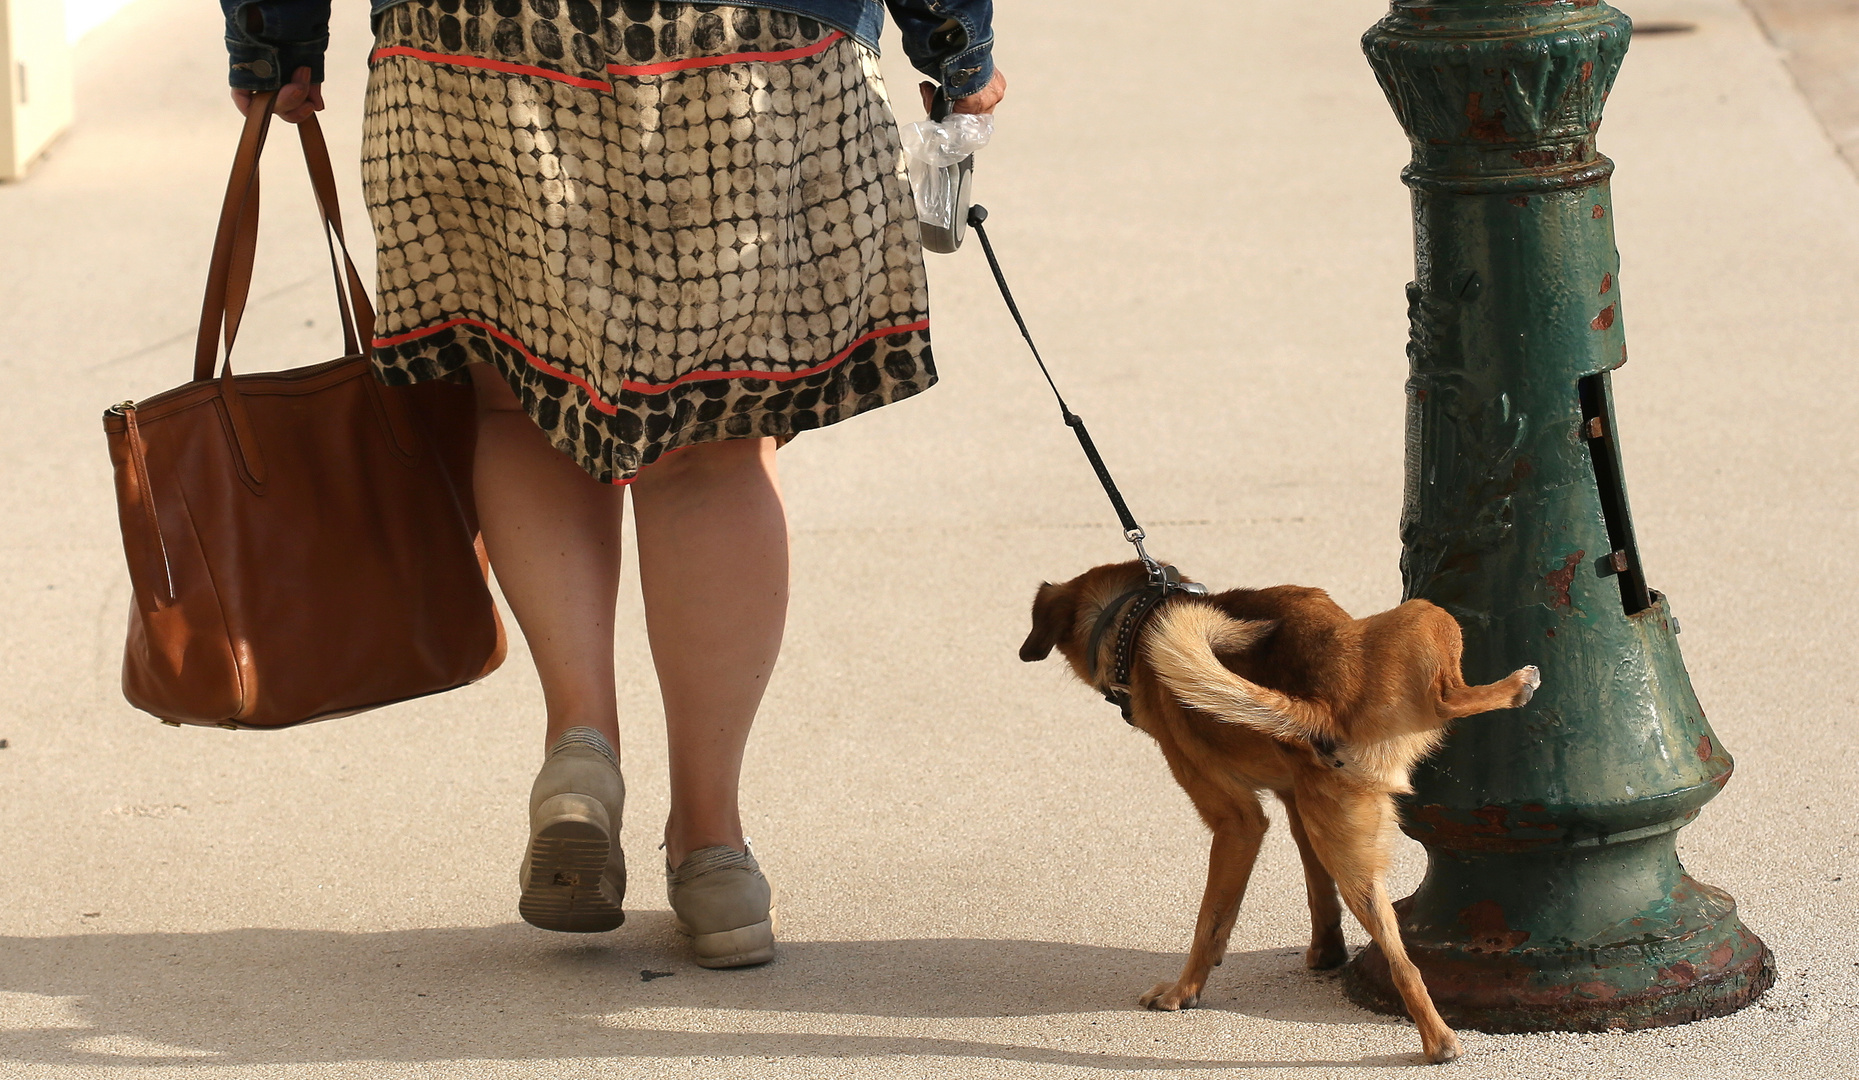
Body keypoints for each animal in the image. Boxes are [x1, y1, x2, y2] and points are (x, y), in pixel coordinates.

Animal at [1026, 561, 1531, 1063]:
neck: (1139, 616)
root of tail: (1320, 709)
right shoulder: (1293, 808)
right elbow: (1312, 893)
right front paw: (1326, 953)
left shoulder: (1242, 824)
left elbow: (1213, 919)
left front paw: (1185, 990)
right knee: (1400, 956)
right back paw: (1438, 1040)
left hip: (1424, 618)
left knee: (1448, 696)